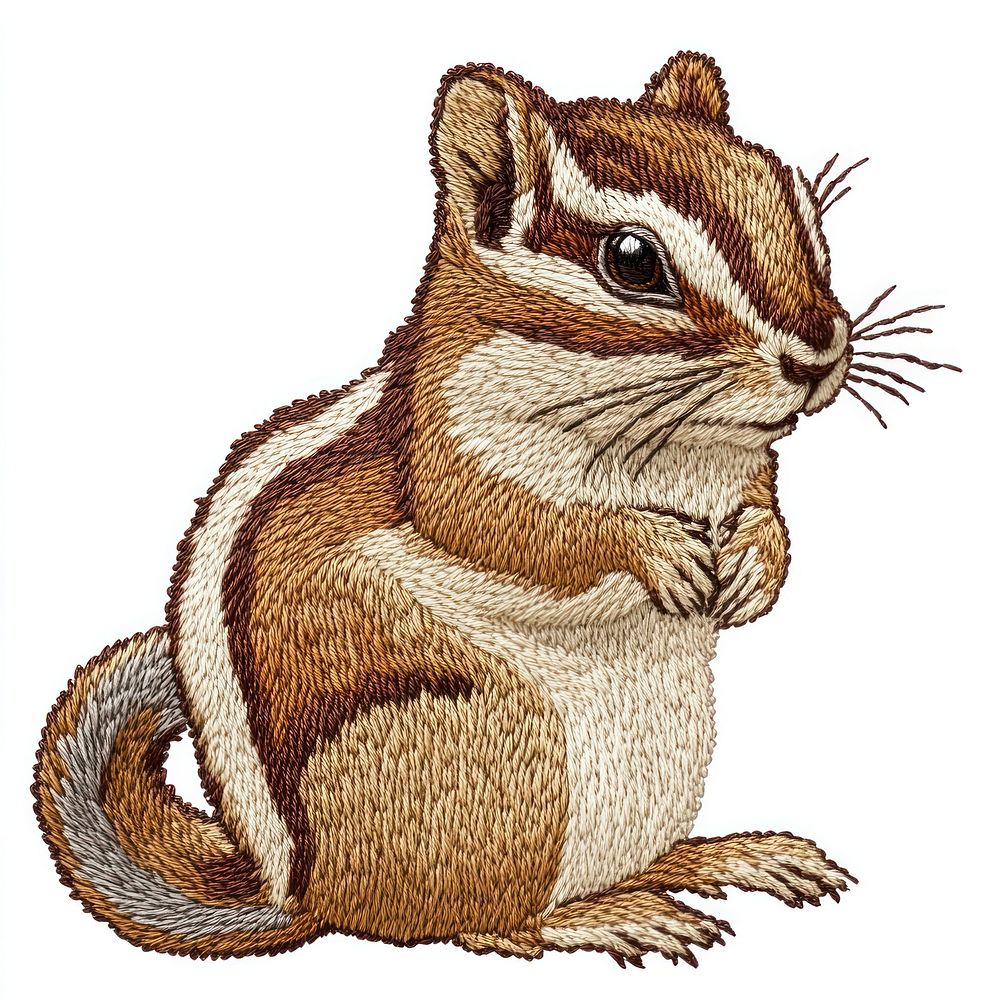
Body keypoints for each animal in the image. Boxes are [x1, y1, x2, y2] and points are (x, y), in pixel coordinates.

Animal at [39, 51, 938, 966]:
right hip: (492, 759)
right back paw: (604, 915)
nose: (819, 353)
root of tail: (301, 891)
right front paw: (653, 547)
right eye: (632, 260)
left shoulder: (747, 469)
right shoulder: (451, 455)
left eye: (806, 219)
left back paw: (724, 856)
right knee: (485, 924)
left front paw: (759, 558)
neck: (680, 446)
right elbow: (507, 527)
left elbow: (764, 505)